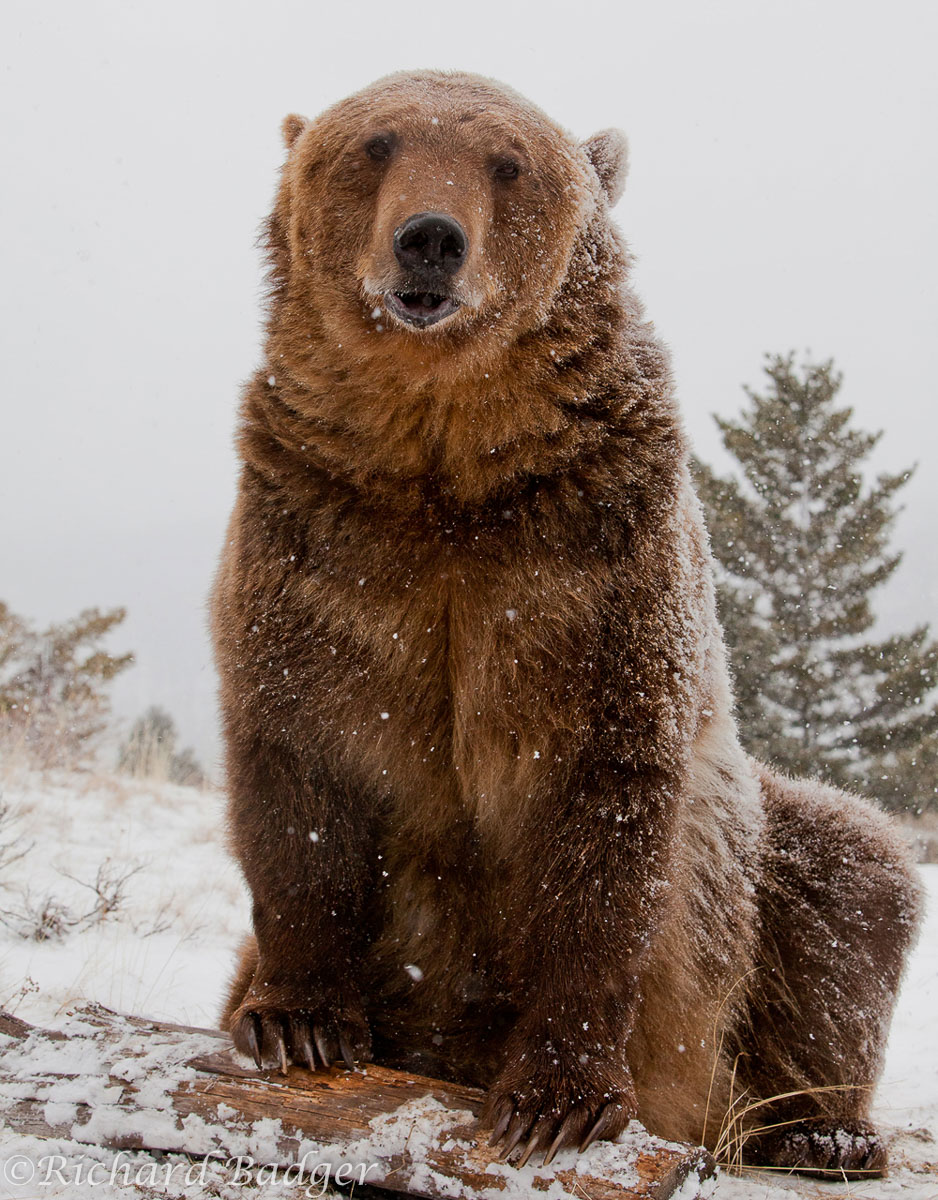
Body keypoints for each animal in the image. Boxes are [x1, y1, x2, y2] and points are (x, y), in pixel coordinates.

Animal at [211, 70, 923, 1176]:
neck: (442, 461)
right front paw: (299, 1019)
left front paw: (555, 1097)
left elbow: (603, 806)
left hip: (760, 906)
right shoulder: (321, 537)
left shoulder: (589, 560)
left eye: (507, 163)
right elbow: (299, 757)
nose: (429, 239)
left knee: (849, 884)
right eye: (375, 144)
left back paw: (823, 1132)